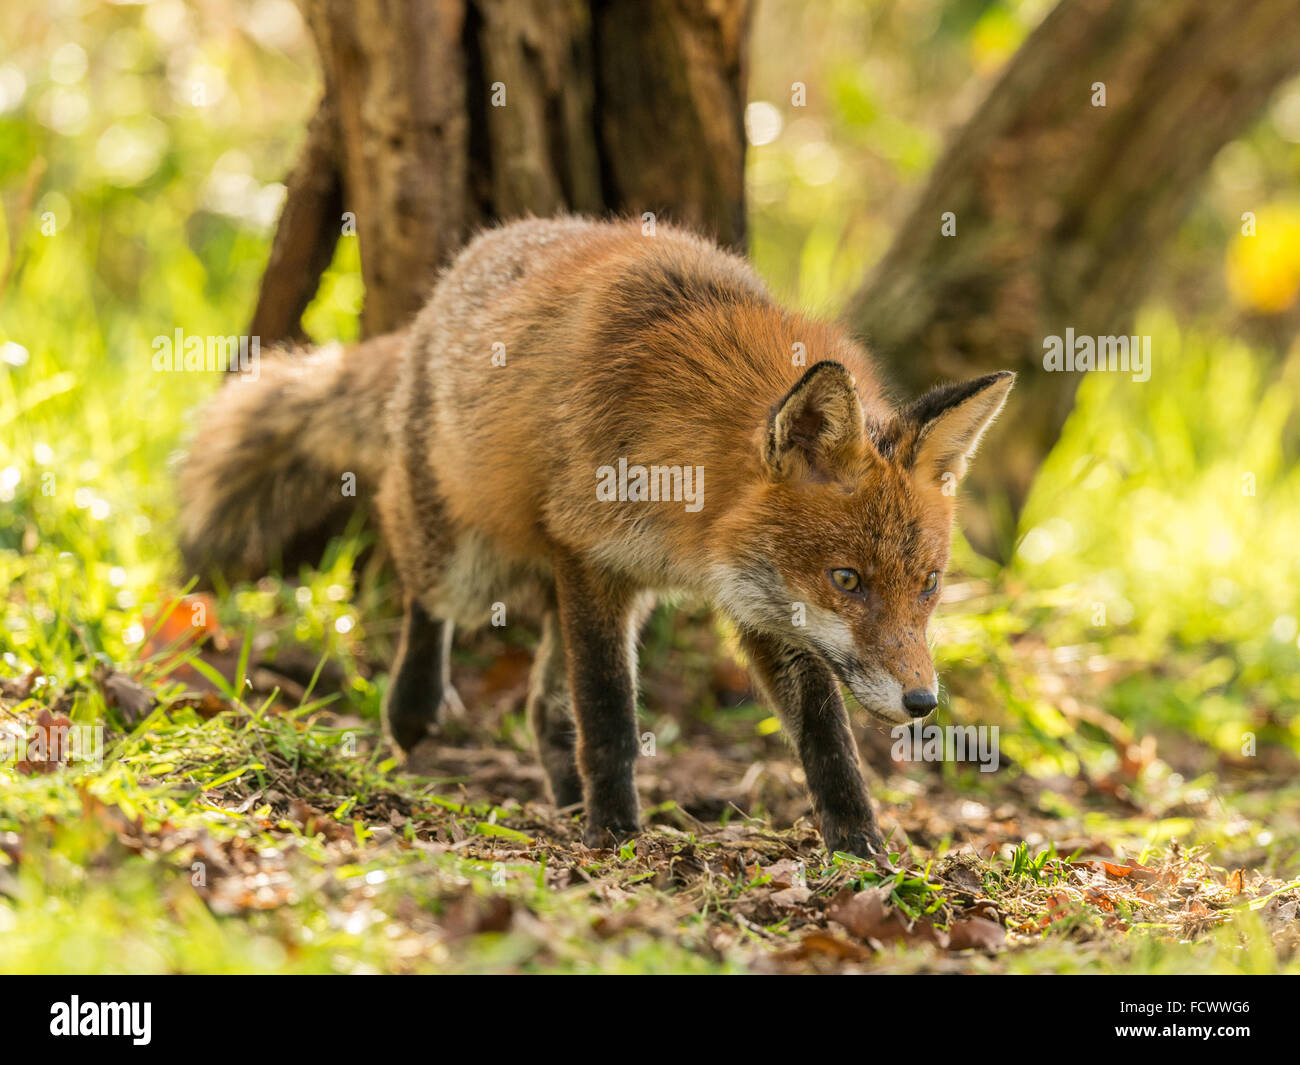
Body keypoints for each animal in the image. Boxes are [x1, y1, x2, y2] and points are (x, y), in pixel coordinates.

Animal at [178, 215, 1013, 858]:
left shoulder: (765, 608)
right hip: (467, 554)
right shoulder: (592, 559)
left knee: (543, 704)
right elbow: (610, 714)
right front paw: (614, 833)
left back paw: (560, 787)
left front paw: (859, 844)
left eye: (930, 586)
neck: (689, 513)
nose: (922, 701)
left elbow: (826, 739)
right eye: (848, 580)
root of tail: (449, 283)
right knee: (430, 597)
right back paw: (415, 711)